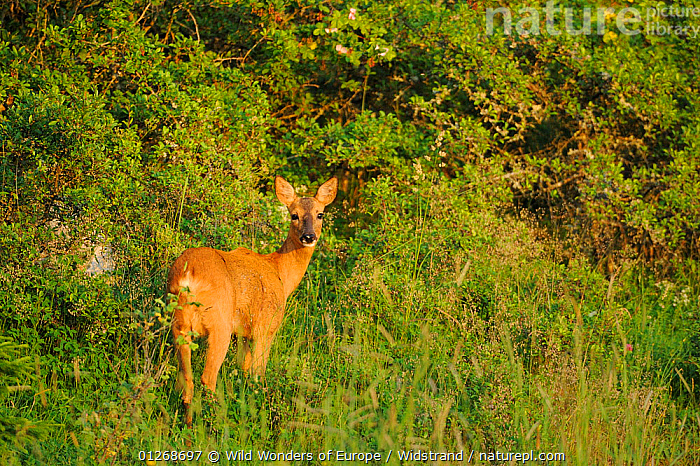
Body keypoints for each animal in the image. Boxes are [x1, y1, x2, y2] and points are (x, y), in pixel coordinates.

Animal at [167, 176, 338, 426]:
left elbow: (244, 370)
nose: (308, 237)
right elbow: (258, 374)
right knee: (207, 378)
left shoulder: (244, 333)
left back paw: (188, 426)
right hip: (219, 323)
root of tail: (188, 276)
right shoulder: (265, 327)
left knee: (186, 379)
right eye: (294, 214)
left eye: (320, 214)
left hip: (179, 325)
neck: (279, 273)